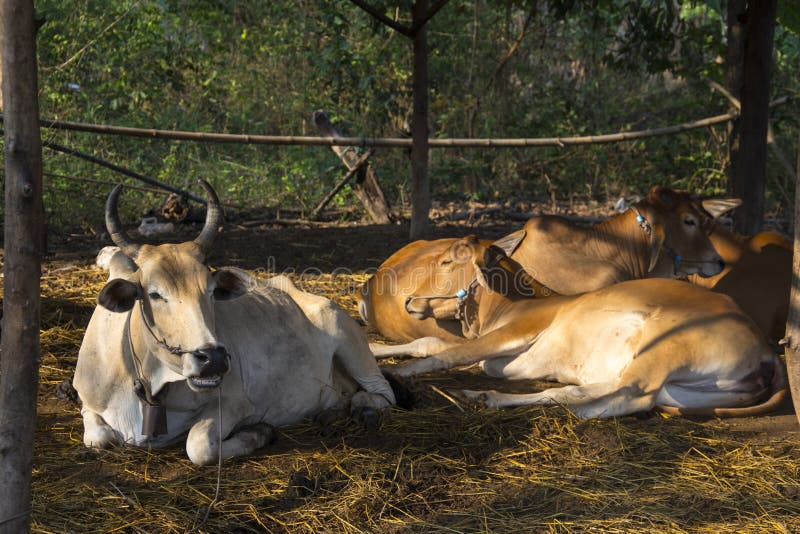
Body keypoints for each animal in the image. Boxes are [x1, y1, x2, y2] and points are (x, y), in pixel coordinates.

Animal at [74, 181, 397, 465]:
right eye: (154, 294)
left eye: (210, 291)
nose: (212, 358)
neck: (146, 380)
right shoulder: (88, 402)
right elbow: (99, 438)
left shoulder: (234, 403)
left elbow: (198, 446)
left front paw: (259, 432)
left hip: (349, 342)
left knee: (384, 394)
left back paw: (360, 407)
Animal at [374, 243, 787, 419]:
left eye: (447, 261)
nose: (409, 301)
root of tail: (767, 348)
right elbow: (428, 342)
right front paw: (378, 352)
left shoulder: (514, 332)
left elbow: (445, 353)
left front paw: (394, 372)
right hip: (683, 389)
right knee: (584, 390)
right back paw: (485, 396)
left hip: (666, 346)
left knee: (631, 397)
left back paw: (572, 415)